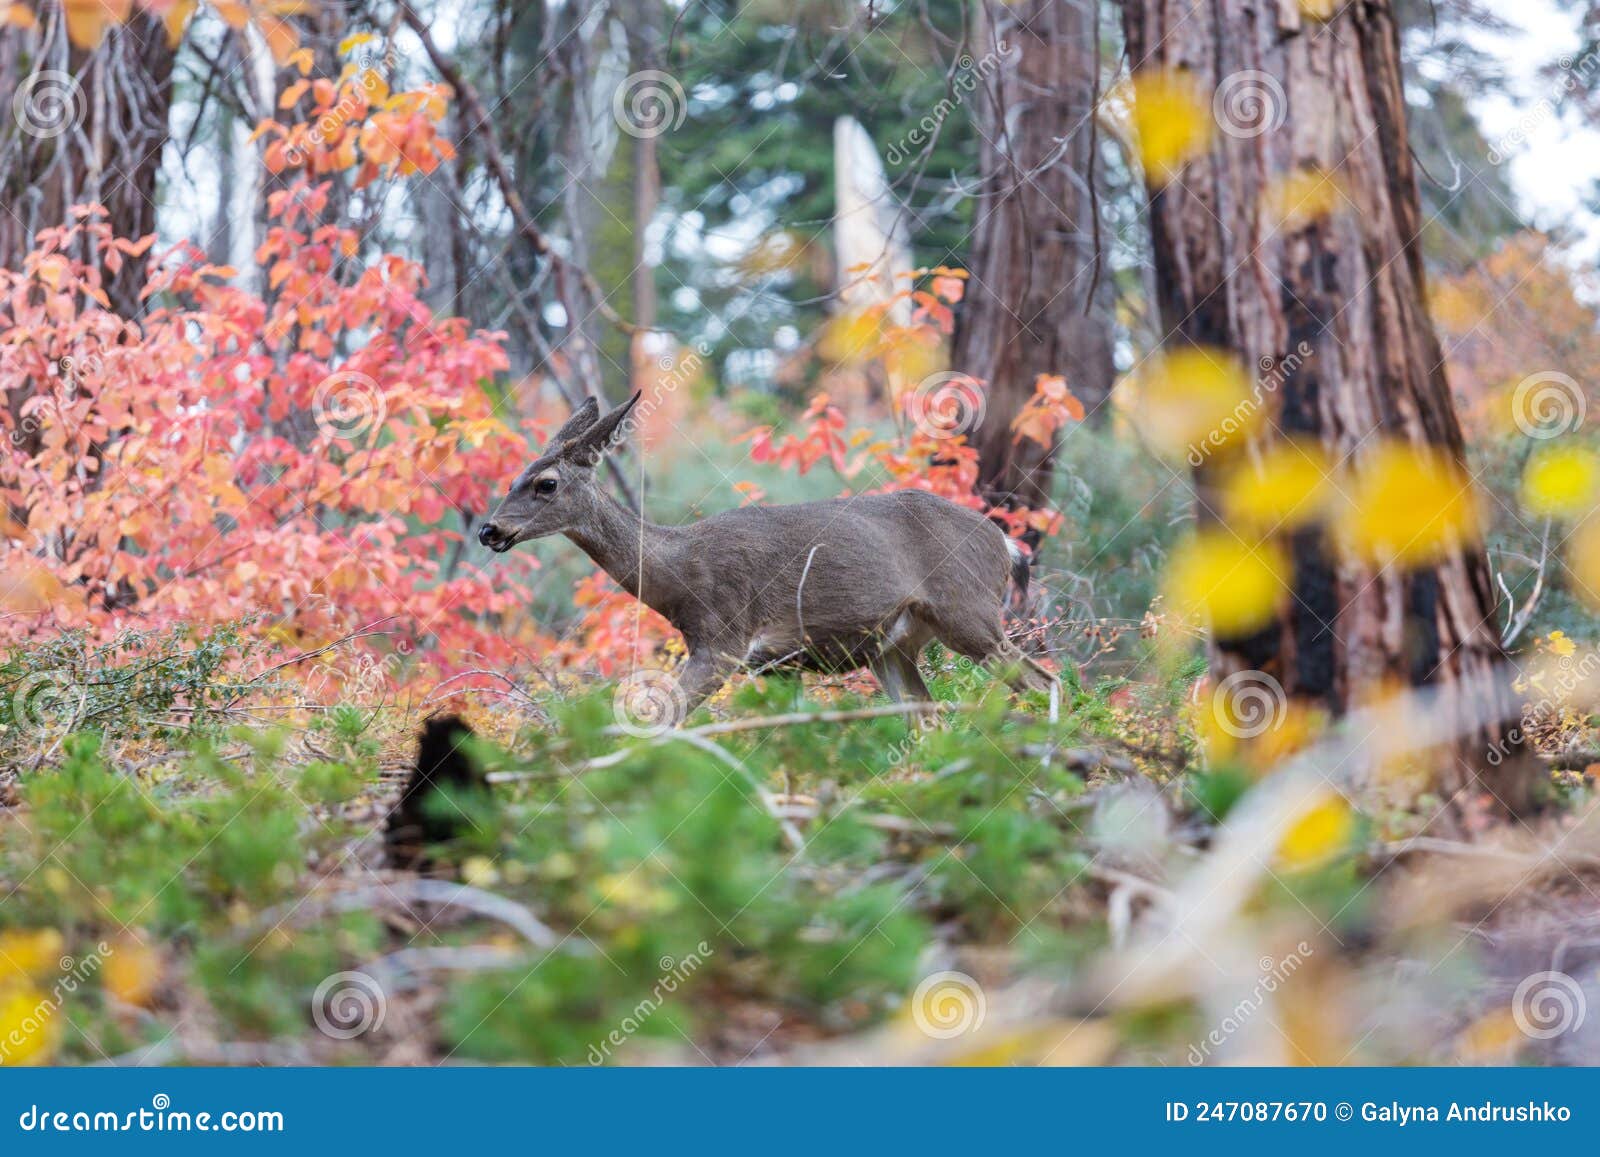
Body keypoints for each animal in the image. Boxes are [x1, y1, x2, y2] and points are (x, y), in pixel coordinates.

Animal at [478, 392, 1057, 721]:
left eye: (546, 483)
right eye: (511, 477)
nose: (489, 530)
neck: (679, 574)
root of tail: (1005, 543)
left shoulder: (724, 639)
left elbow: (661, 721)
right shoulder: (775, 666)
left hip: (969, 611)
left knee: (1045, 679)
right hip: (895, 645)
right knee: (928, 717)